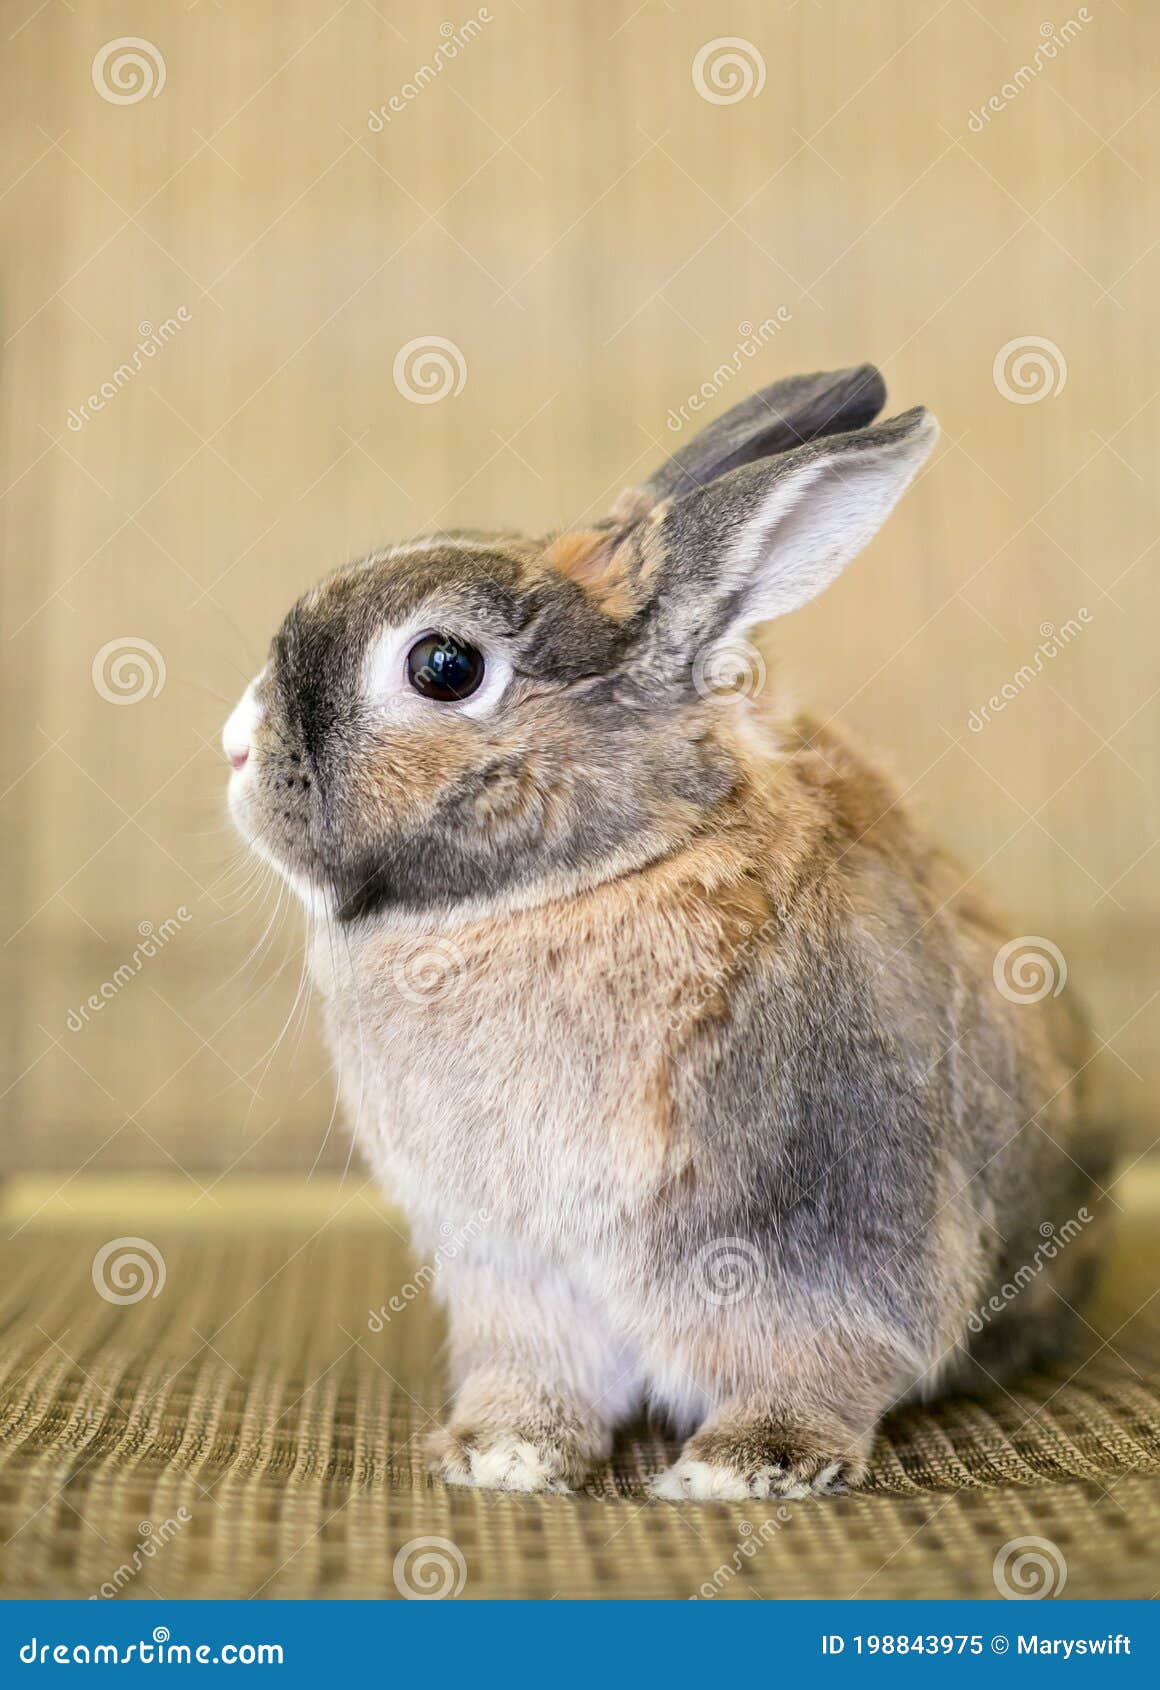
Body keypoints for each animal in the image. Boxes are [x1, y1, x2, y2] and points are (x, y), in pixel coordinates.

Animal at [223, 364, 1110, 1500]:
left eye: (443, 666)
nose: (234, 748)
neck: (591, 874)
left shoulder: (822, 1232)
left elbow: (820, 1358)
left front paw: (747, 1465)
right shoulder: (516, 1273)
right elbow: (537, 1372)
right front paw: (503, 1453)